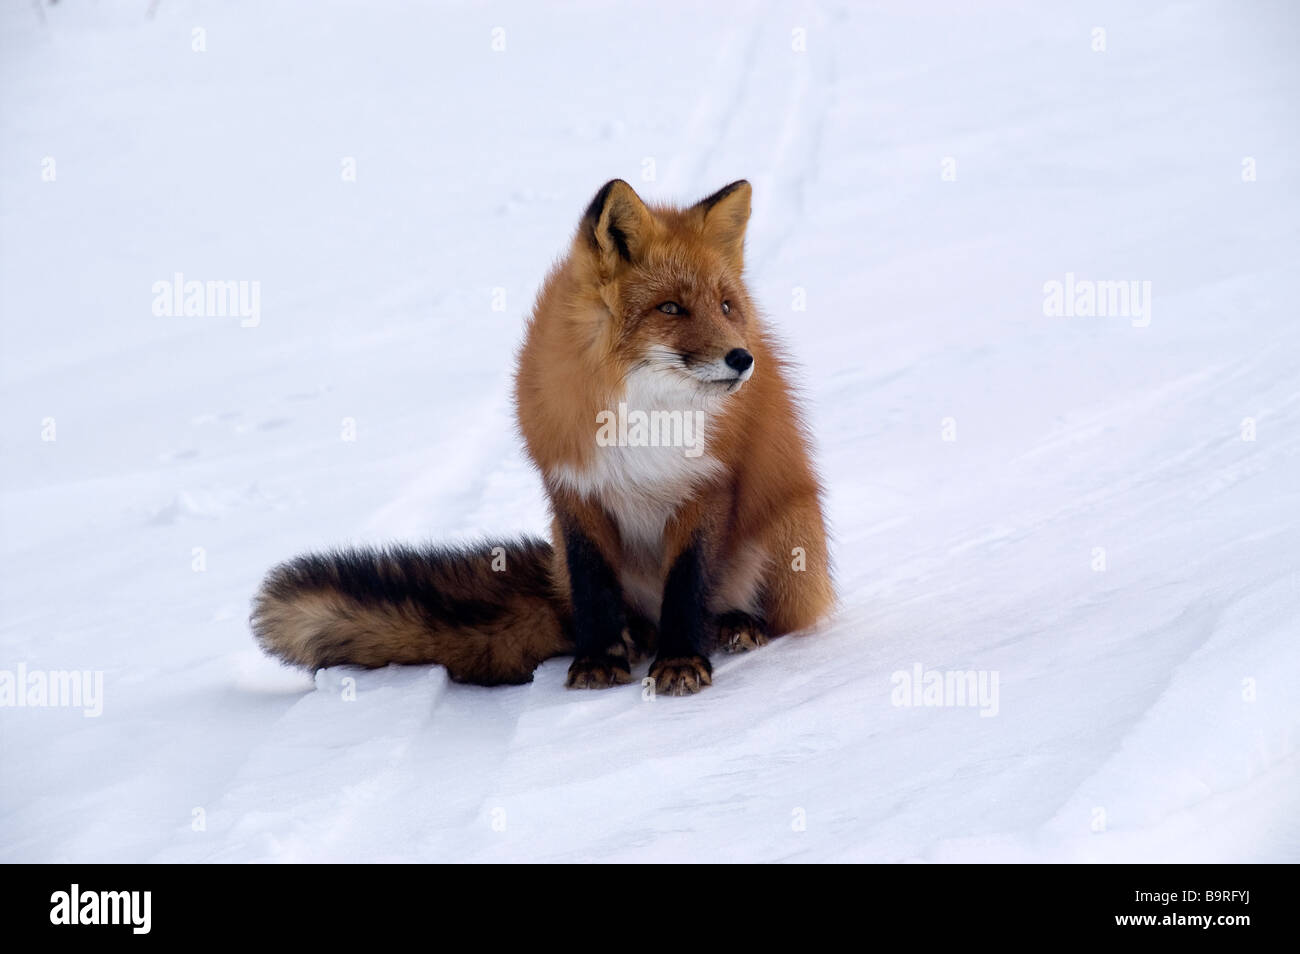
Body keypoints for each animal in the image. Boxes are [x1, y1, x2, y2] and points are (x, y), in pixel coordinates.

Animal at [252, 179, 833, 695]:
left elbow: (688, 587)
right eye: (671, 308)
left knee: (769, 614)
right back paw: (634, 638)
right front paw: (599, 661)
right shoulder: (572, 489)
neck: (646, 417)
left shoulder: (706, 486)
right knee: (596, 608)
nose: (742, 358)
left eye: (727, 306)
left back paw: (736, 625)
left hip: (787, 530)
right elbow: (594, 587)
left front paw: (681, 662)